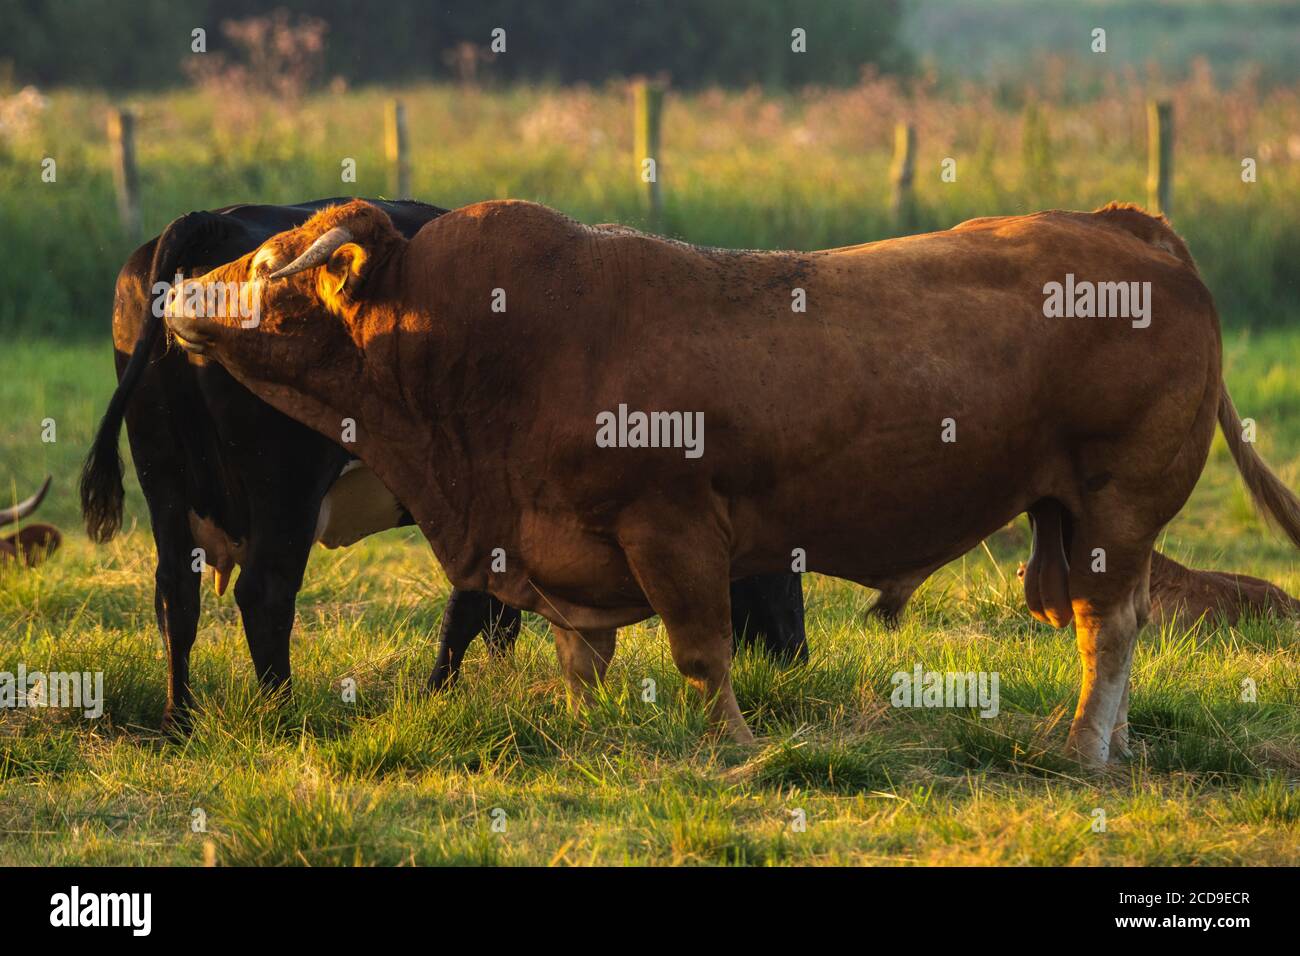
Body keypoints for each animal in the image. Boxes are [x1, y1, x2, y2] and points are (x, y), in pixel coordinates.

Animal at [80, 198, 806, 732]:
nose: (796, 657)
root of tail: (214, 219)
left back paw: (179, 718)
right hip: (280, 493)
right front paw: (444, 692)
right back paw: (282, 713)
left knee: (175, 596)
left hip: (166, 485)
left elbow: (493, 612)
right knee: (265, 594)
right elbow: (475, 611)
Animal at [162, 198, 1300, 767]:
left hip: (1117, 500)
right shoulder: (562, 551)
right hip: (1068, 515)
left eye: (268, 264)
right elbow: (580, 661)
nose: (176, 295)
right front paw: (579, 732)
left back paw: (1082, 746)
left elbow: (703, 651)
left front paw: (734, 743)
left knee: (1107, 627)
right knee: (1113, 616)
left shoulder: (671, 528)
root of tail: (1121, 224)